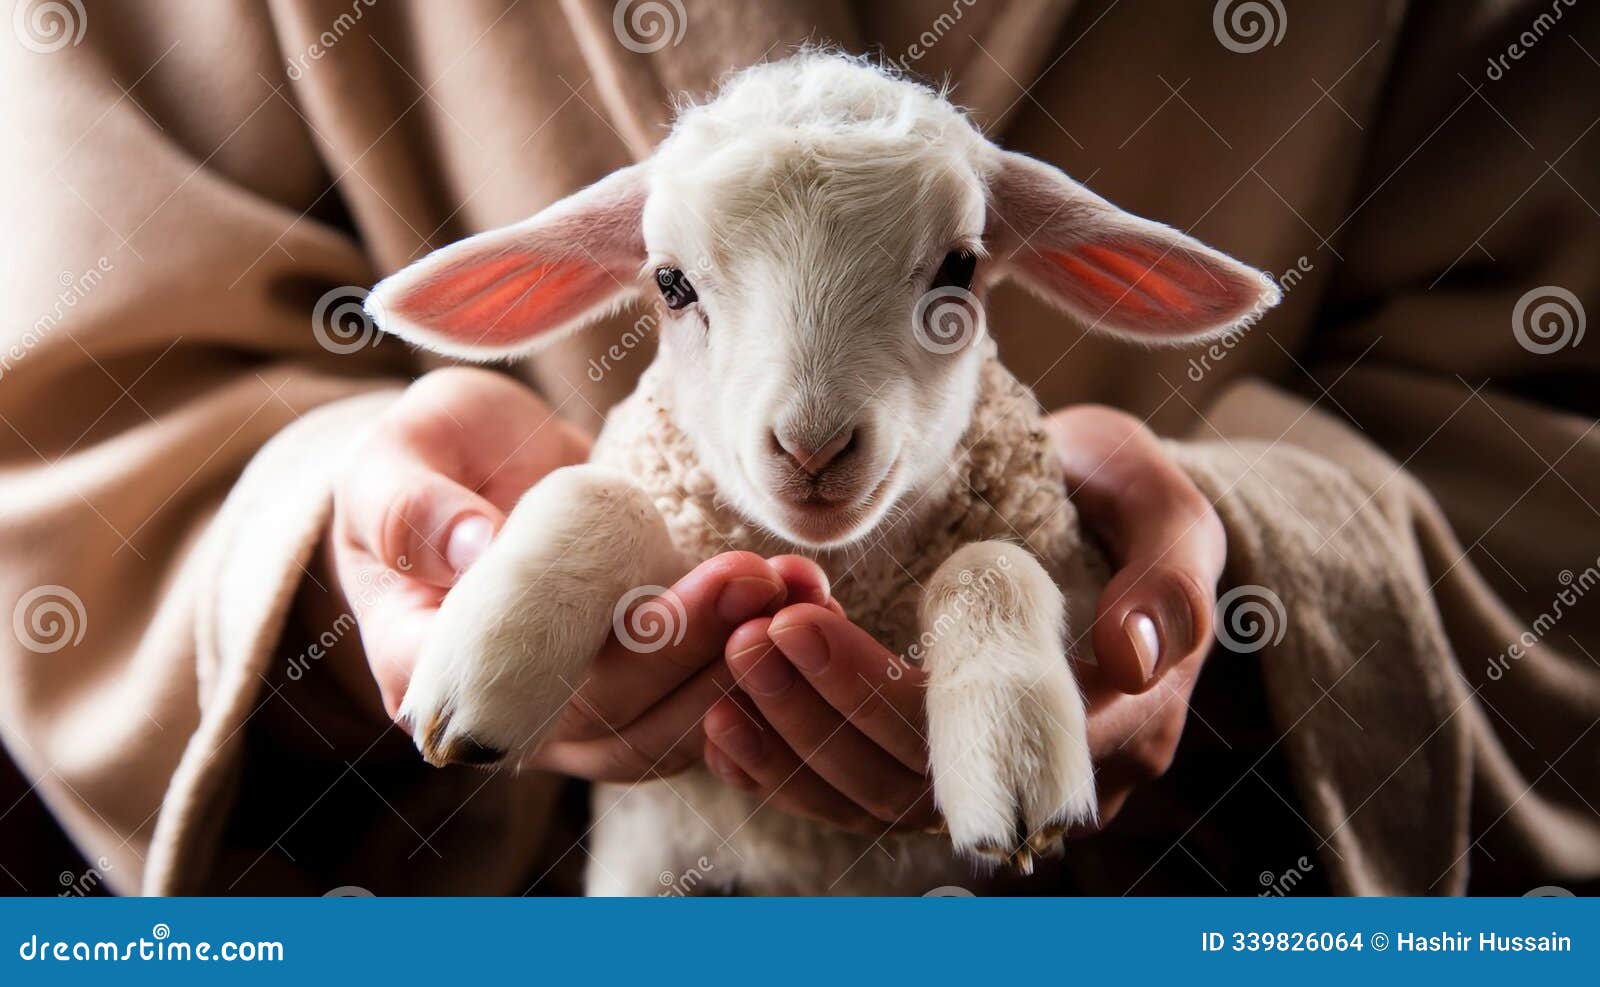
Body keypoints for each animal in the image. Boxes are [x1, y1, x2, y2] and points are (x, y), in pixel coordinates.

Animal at [364, 52, 1279, 895]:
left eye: (959, 268)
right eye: (670, 283)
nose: (812, 446)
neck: (833, 566)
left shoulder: (1085, 580)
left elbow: (992, 562)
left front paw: (1010, 754)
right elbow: (596, 489)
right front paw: (482, 670)